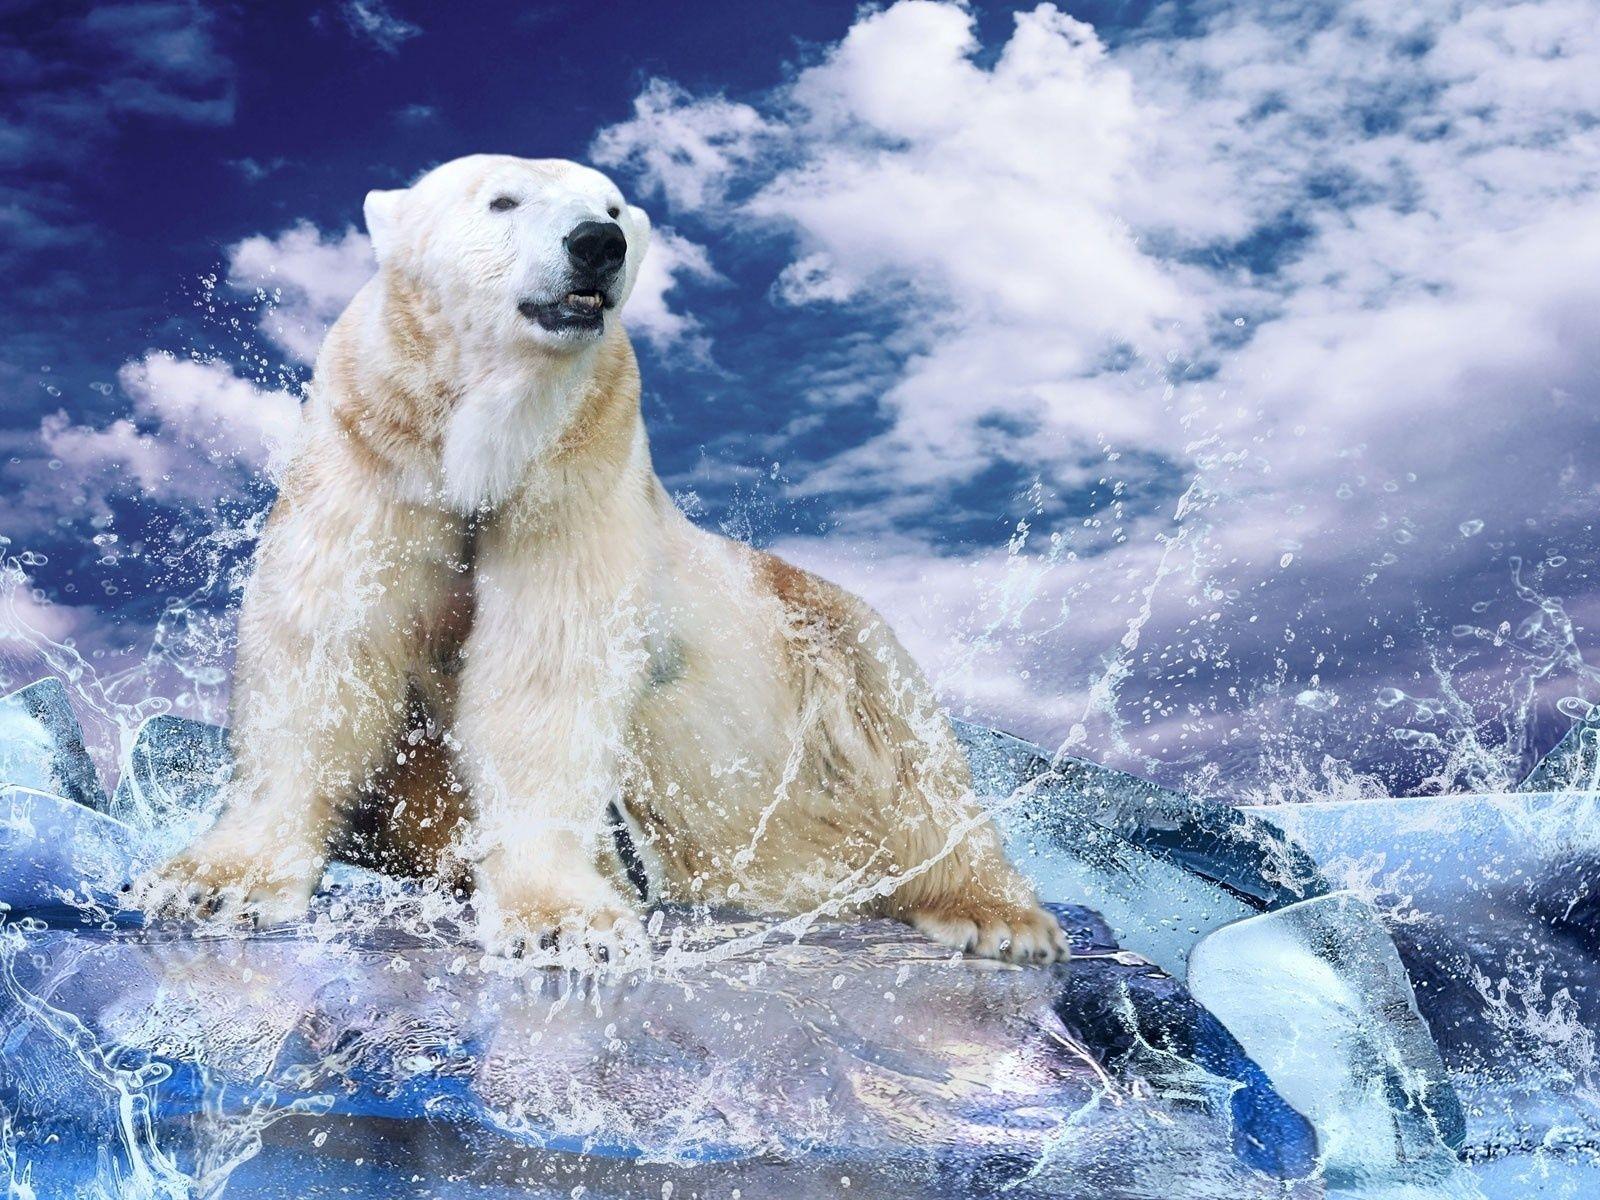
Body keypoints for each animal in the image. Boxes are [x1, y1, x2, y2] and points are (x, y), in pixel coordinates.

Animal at [130, 154, 1067, 969]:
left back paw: (996, 917)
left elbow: (548, 669)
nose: (597, 243)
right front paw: (212, 884)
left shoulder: (576, 476)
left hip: (830, 638)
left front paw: (561, 922)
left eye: (614, 207)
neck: (488, 448)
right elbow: (327, 644)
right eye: (502, 200)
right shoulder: (375, 449)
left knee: (915, 757)